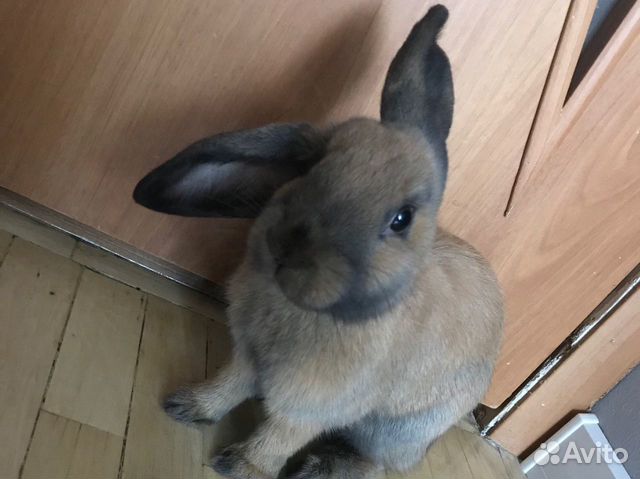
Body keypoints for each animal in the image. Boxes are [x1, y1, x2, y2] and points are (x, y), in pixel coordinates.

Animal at [133, 5, 503, 479]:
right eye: (313, 168)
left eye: (401, 219)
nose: (291, 245)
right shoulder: (247, 355)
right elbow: (230, 384)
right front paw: (187, 407)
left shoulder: (312, 406)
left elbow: (281, 435)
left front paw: (239, 467)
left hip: (387, 431)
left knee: (376, 463)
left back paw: (319, 469)